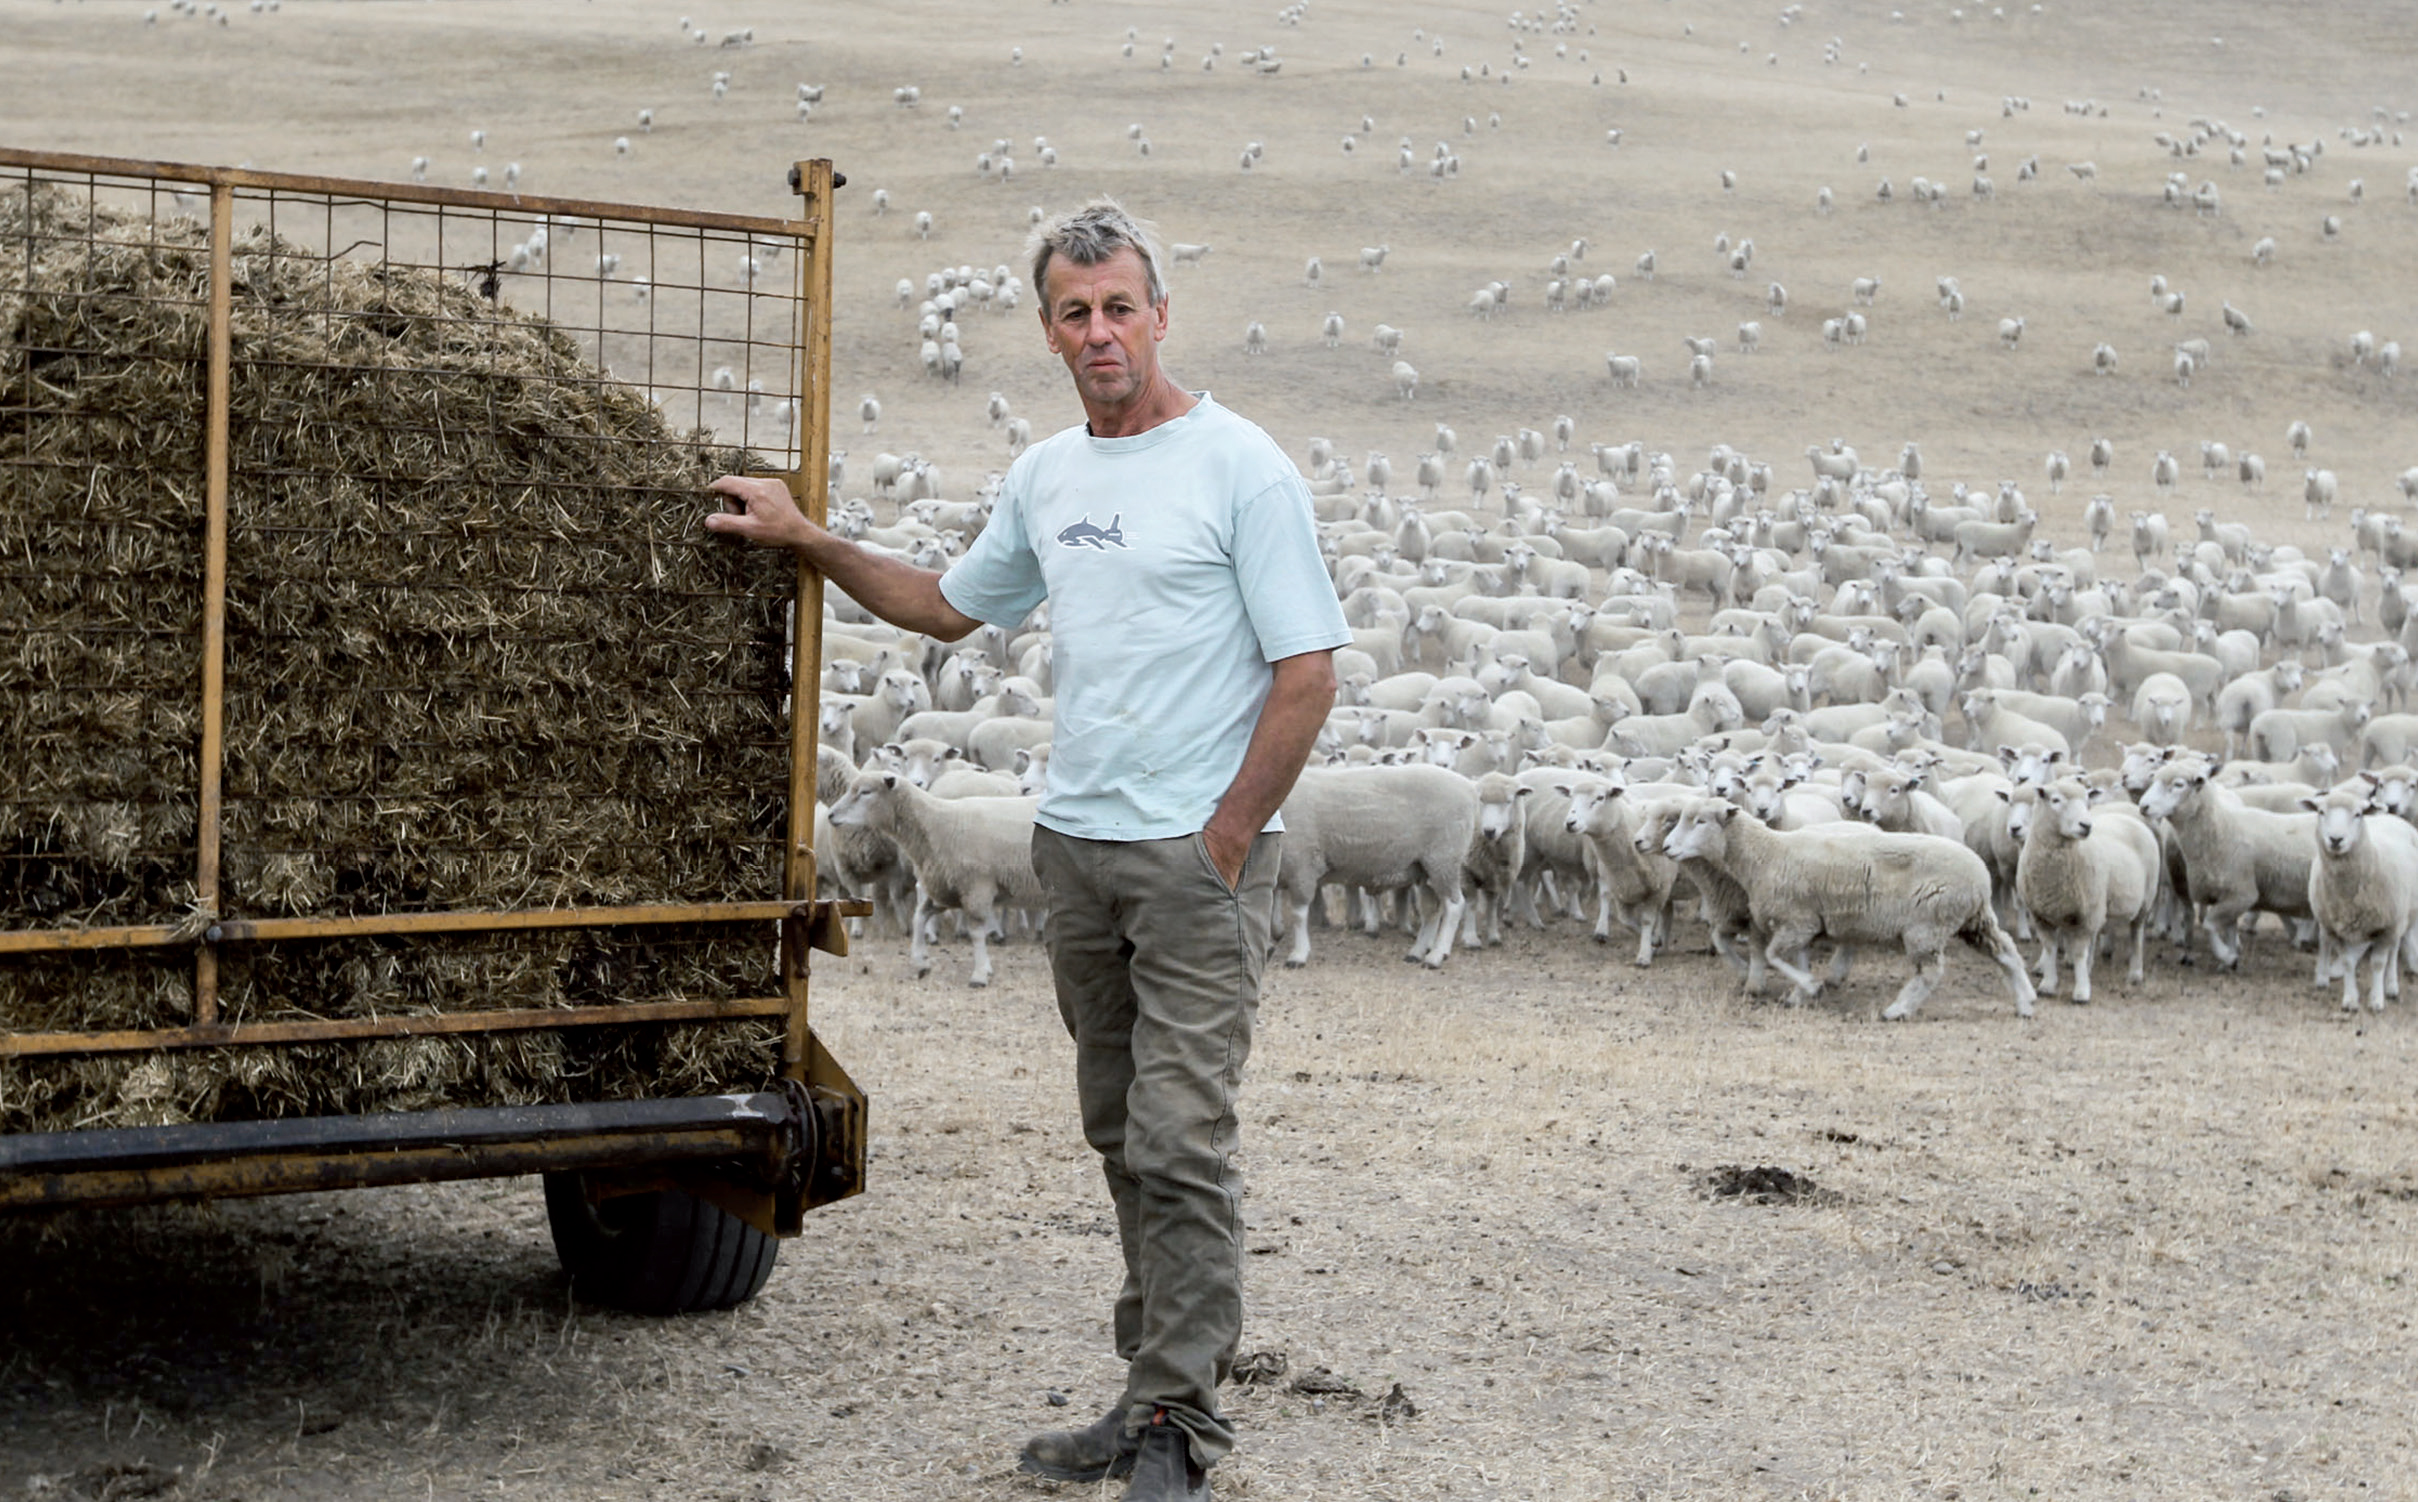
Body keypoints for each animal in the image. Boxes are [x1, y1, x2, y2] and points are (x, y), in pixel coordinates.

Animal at [826, 770, 1043, 987]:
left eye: (865, 792)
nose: (830, 815)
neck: (939, 823)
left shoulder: (976, 886)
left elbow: (976, 931)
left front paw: (980, 974)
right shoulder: (946, 887)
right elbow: (919, 916)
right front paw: (920, 961)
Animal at [1276, 765, 1478, 968]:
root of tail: (1468, 786)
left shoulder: (1301, 865)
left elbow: (1298, 915)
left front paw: (1298, 954)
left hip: (1444, 858)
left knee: (1454, 906)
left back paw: (1436, 955)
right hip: (1424, 867)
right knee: (1431, 909)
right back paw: (1417, 952)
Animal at [1660, 801, 2036, 1020]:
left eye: (1700, 821)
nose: (1666, 847)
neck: (1765, 854)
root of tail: (1980, 874)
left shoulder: (1796, 920)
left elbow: (1772, 955)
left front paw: (1810, 987)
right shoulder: (1805, 922)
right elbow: (1794, 958)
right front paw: (1800, 994)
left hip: (1927, 925)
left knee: (1930, 972)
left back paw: (1898, 1009)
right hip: (1974, 919)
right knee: (2007, 952)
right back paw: (2025, 1002)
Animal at [2011, 779, 2161, 1002]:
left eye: (2086, 801)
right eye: (2055, 800)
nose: (2086, 826)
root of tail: (2126, 816)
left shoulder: (2085, 915)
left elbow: (2079, 953)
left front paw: (2081, 991)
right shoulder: (2041, 915)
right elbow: (2050, 949)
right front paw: (2048, 984)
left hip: (2144, 901)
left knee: (2136, 934)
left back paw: (2135, 973)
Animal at [2303, 785, 2418, 1011]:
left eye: (2358, 814)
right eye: (2321, 812)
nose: (2336, 839)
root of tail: (2390, 817)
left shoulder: (2387, 926)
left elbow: (2378, 963)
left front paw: (2376, 1000)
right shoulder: (2335, 929)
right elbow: (2348, 962)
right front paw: (2350, 999)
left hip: (2402, 916)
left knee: (2394, 950)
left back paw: (2391, 986)